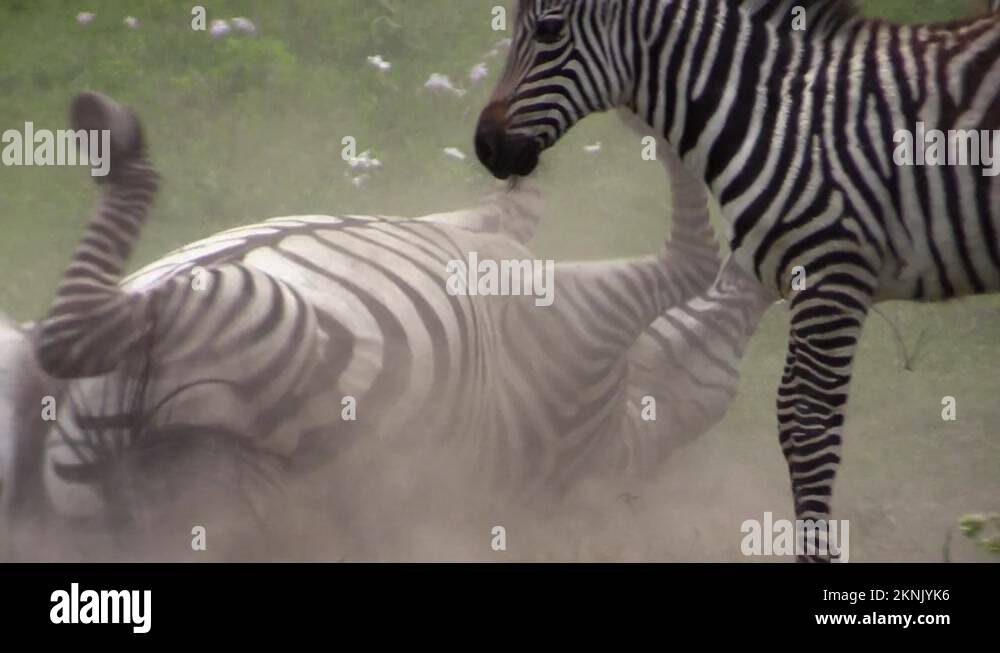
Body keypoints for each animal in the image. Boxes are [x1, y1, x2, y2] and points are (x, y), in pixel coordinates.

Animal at [2, 91, 769, 557]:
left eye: (727, 357)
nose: (766, 274)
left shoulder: (583, 330)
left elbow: (692, 257)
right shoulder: (488, 234)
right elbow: (519, 200)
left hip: (265, 335)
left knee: (83, 329)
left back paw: (118, 148)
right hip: (27, 372)